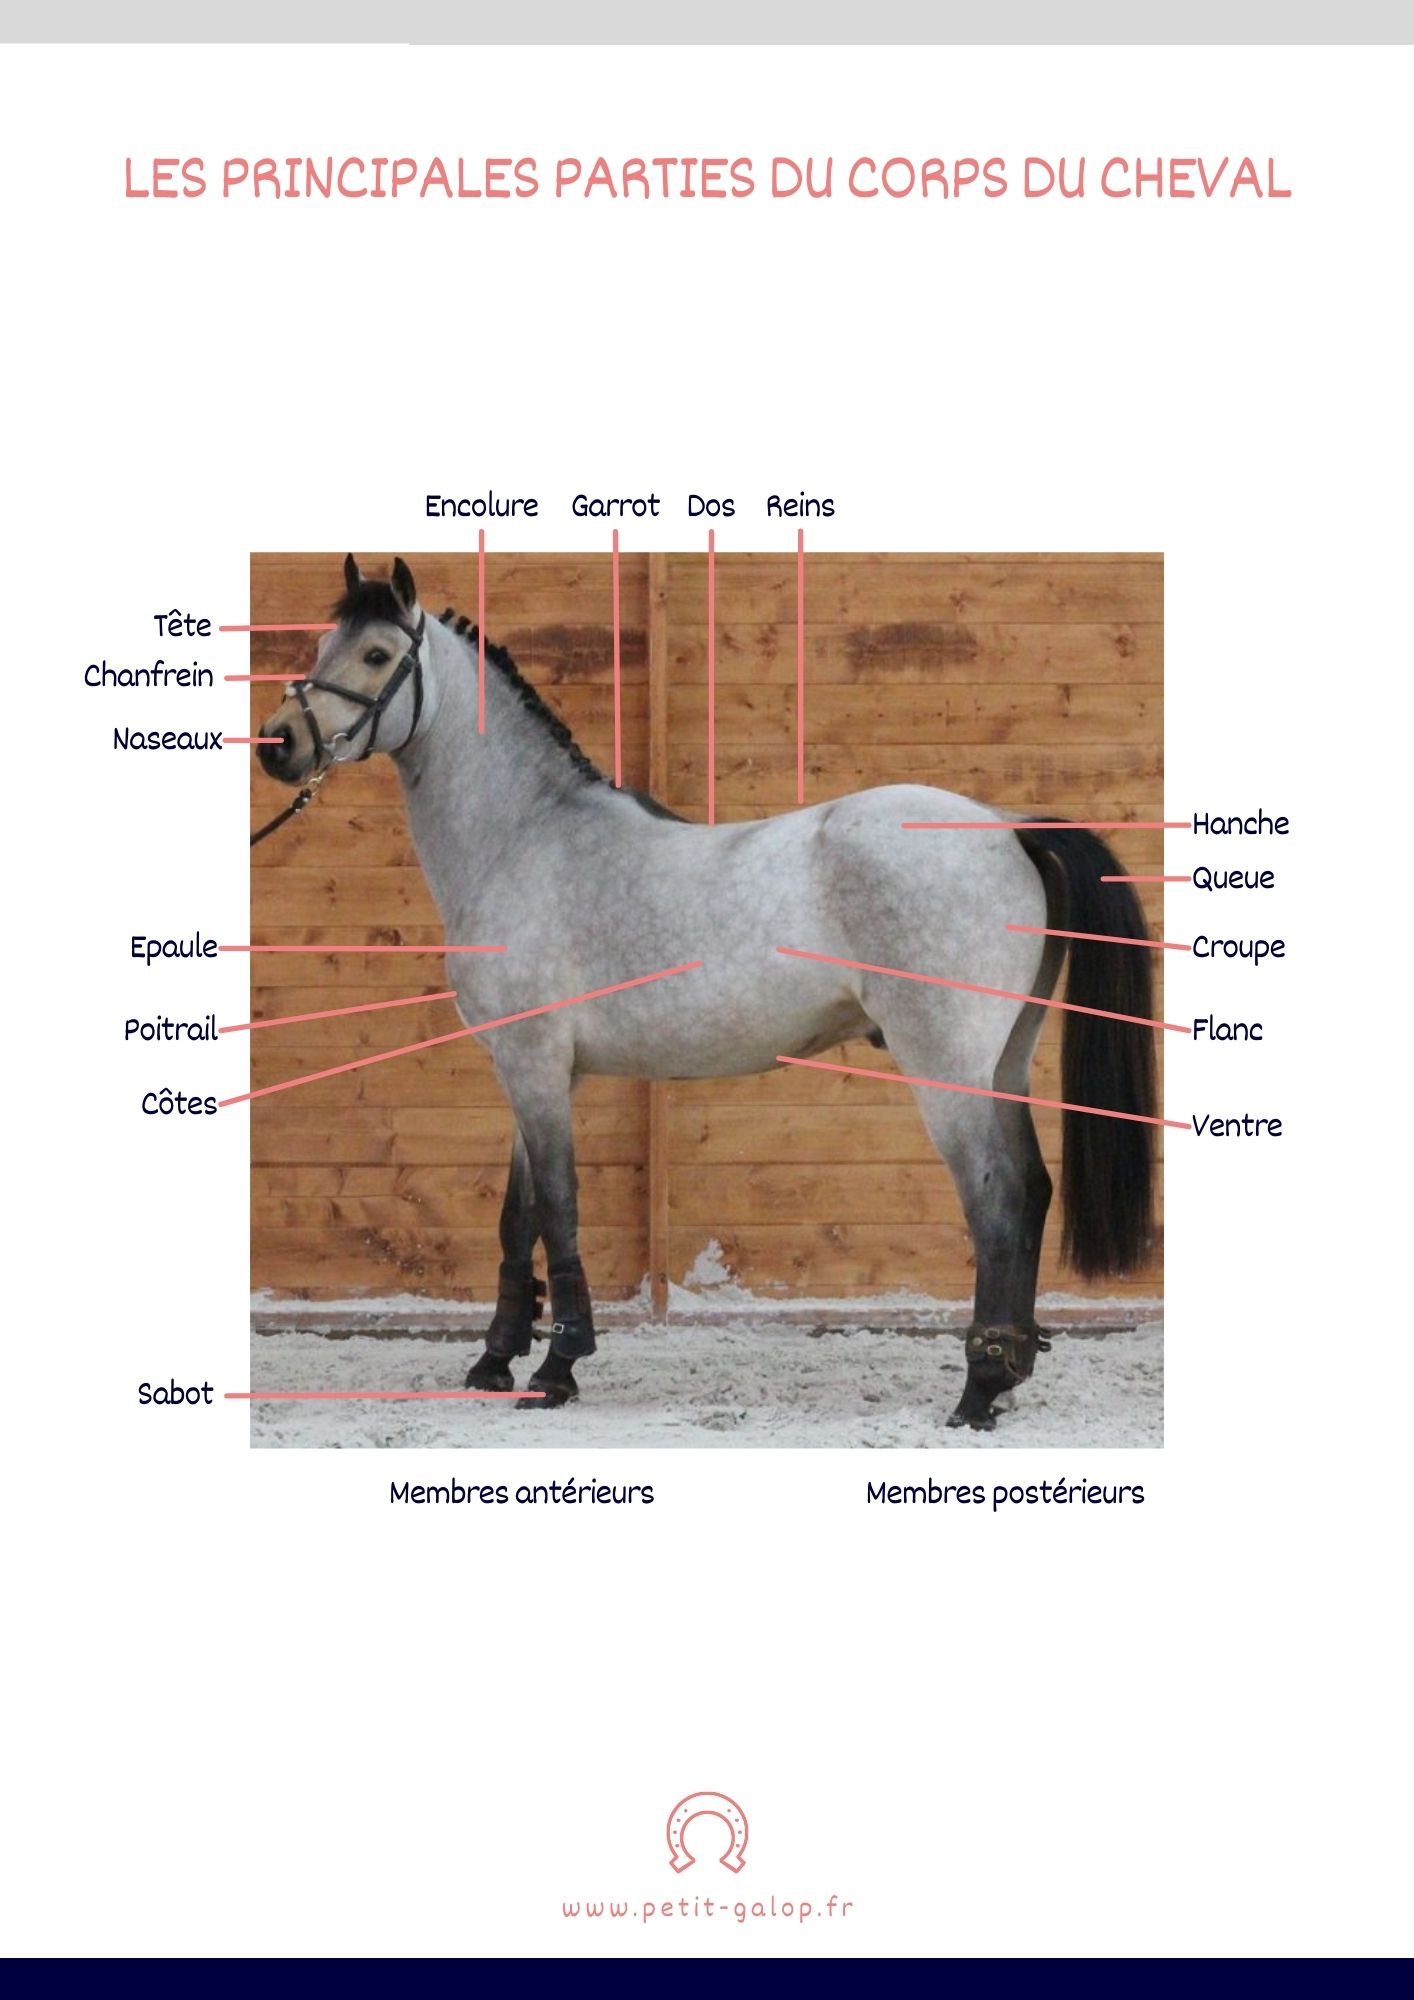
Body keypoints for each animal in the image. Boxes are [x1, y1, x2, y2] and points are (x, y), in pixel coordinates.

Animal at [255, 555, 1157, 1430]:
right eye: (319, 648)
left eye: (377, 655)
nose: (278, 742)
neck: (527, 840)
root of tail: (1006, 827)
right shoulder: (529, 1069)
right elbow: (519, 1219)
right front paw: (493, 1362)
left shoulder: (536, 1066)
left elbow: (559, 1209)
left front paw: (556, 1369)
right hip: (1004, 1059)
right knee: (1032, 1191)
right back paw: (1006, 1377)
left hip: (947, 1069)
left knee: (997, 1198)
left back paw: (977, 1390)